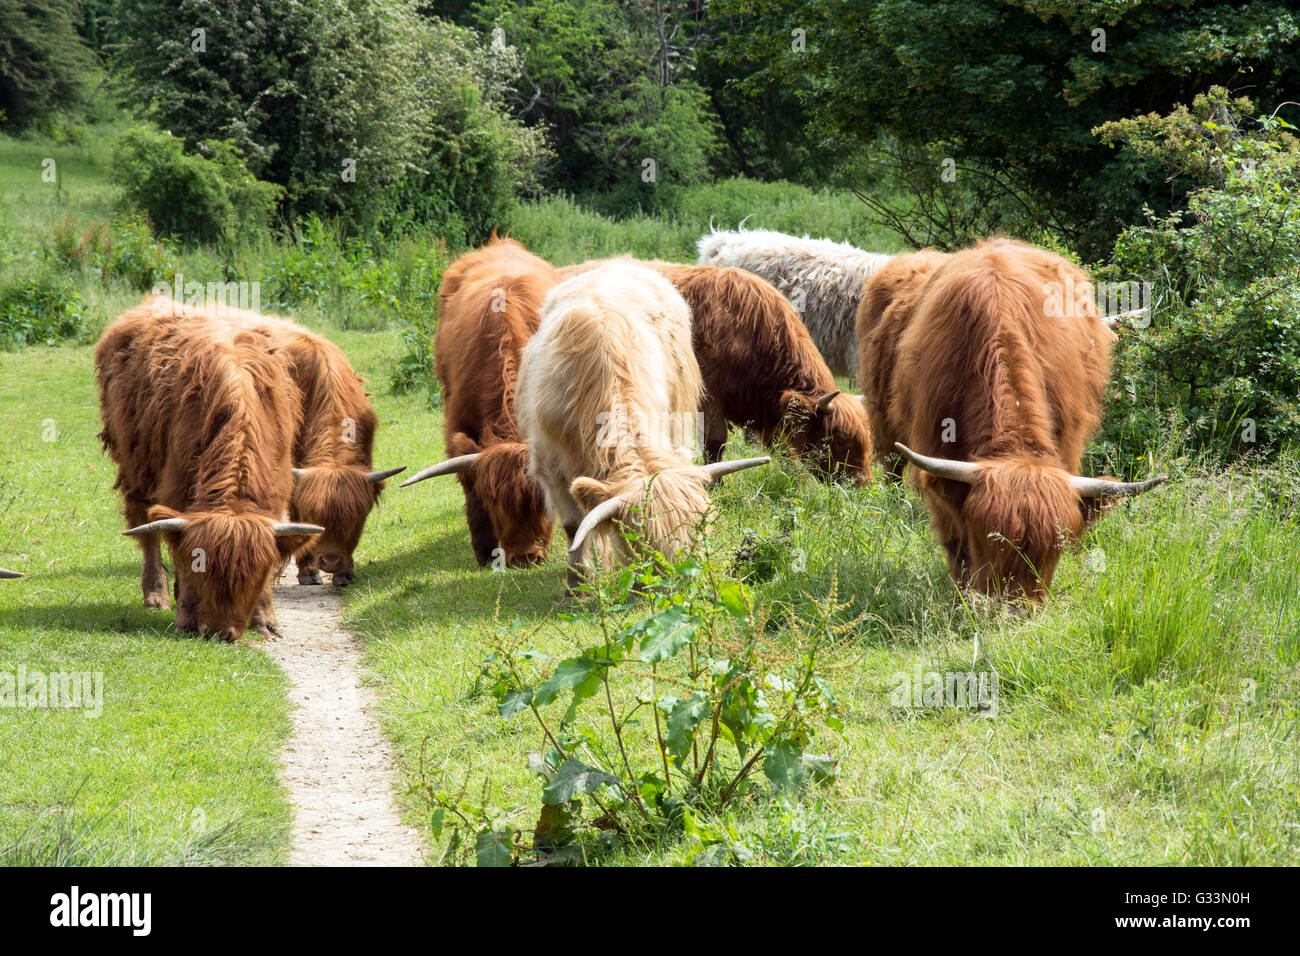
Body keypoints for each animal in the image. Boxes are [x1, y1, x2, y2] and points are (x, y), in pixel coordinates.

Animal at [96, 302, 324, 641]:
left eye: (255, 576)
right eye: (202, 570)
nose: (221, 631)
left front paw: (265, 618)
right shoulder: (175, 491)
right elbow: (177, 549)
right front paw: (185, 615)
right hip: (134, 468)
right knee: (145, 530)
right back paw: (156, 596)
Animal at [401, 237, 556, 567]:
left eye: (545, 501)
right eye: (494, 503)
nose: (526, 556)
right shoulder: (458, 430)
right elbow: (469, 483)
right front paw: (484, 550)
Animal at [517, 261, 769, 590]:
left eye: (700, 533)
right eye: (643, 545)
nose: (685, 592)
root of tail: (618, 262)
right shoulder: (551, 466)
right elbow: (575, 527)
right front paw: (579, 584)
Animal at [855, 238, 1165, 602]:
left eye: (1054, 550)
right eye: (988, 541)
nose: (1014, 608)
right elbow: (954, 544)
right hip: (881, 415)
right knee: (890, 467)